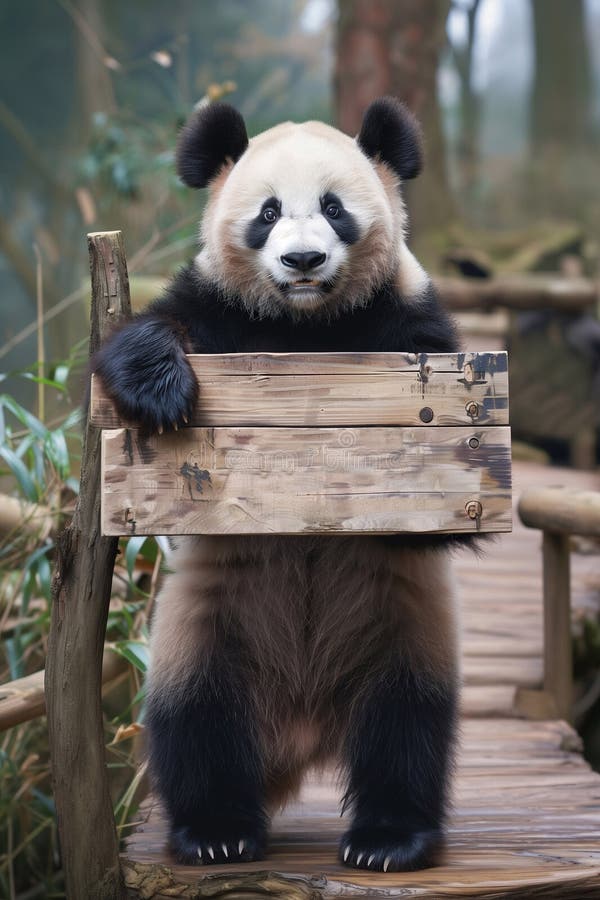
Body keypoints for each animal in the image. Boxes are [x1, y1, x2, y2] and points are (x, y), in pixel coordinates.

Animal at [93, 97, 465, 873]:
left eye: (333, 208)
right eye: (267, 213)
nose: (302, 261)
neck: (306, 325)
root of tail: (303, 729)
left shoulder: (407, 320)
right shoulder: (217, 311)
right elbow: (149, 334)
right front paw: (161, 392)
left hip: (406, 628)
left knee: (408, 728)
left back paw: (389, 839)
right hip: (204, 628)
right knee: (193, 723)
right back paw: (216, 832)